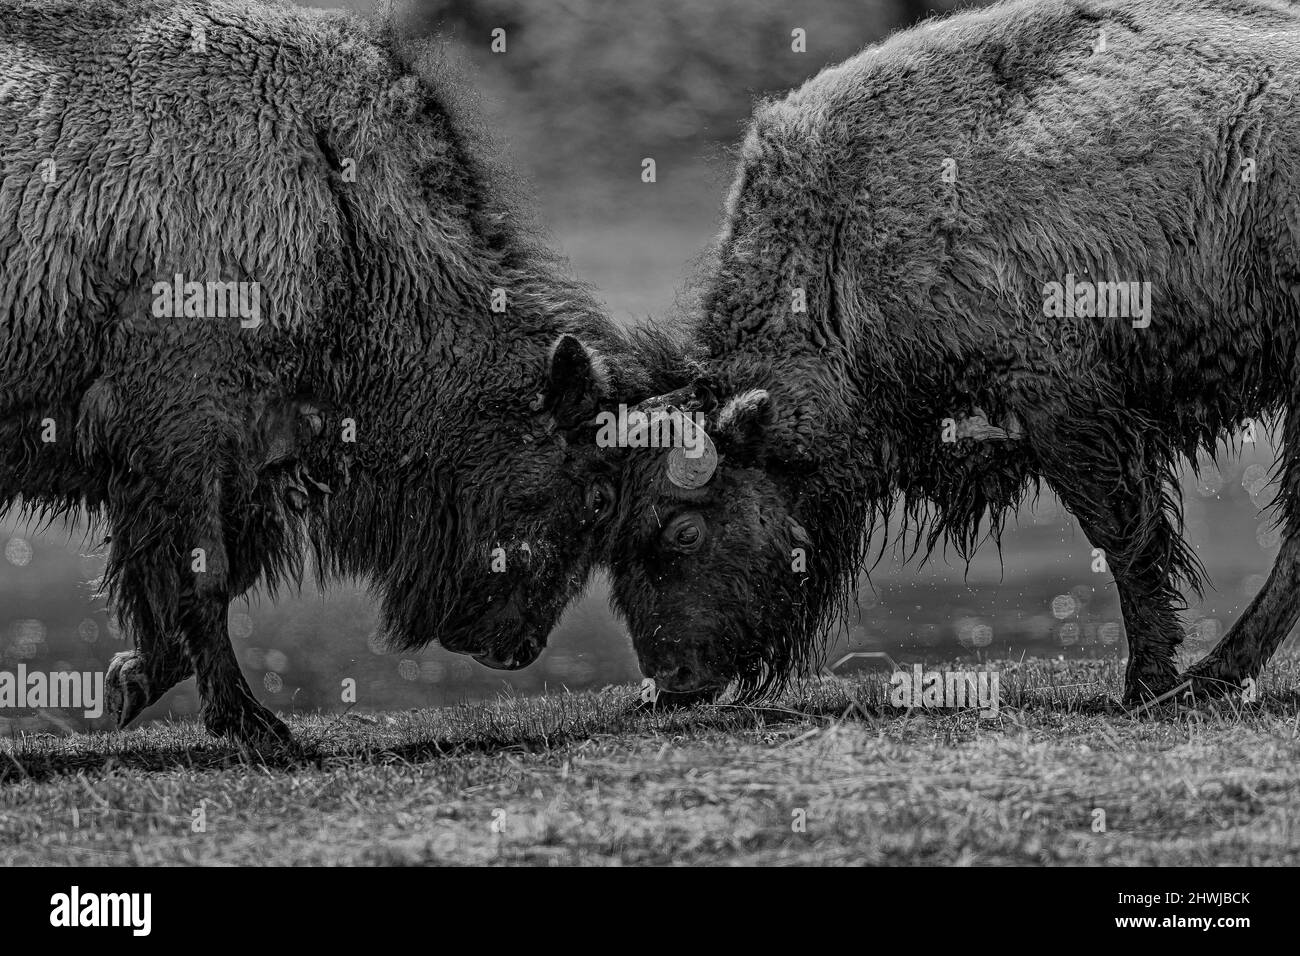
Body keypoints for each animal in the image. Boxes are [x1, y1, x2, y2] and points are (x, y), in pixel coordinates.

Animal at [0, 0, 657, 745]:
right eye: (598, 497)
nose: (515, 650)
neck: (344, 215)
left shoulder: (235, 463)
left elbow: (202, 581)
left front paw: (125, 683)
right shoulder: (186, 435)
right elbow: (205, 578)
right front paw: (253, 724)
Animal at [606, 0, 1300, 706]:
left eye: (683, 530)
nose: (670, 683)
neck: (836, 253)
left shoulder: (1062, 406)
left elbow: (1127, 541)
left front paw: (1145, 683)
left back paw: (1209, 678)